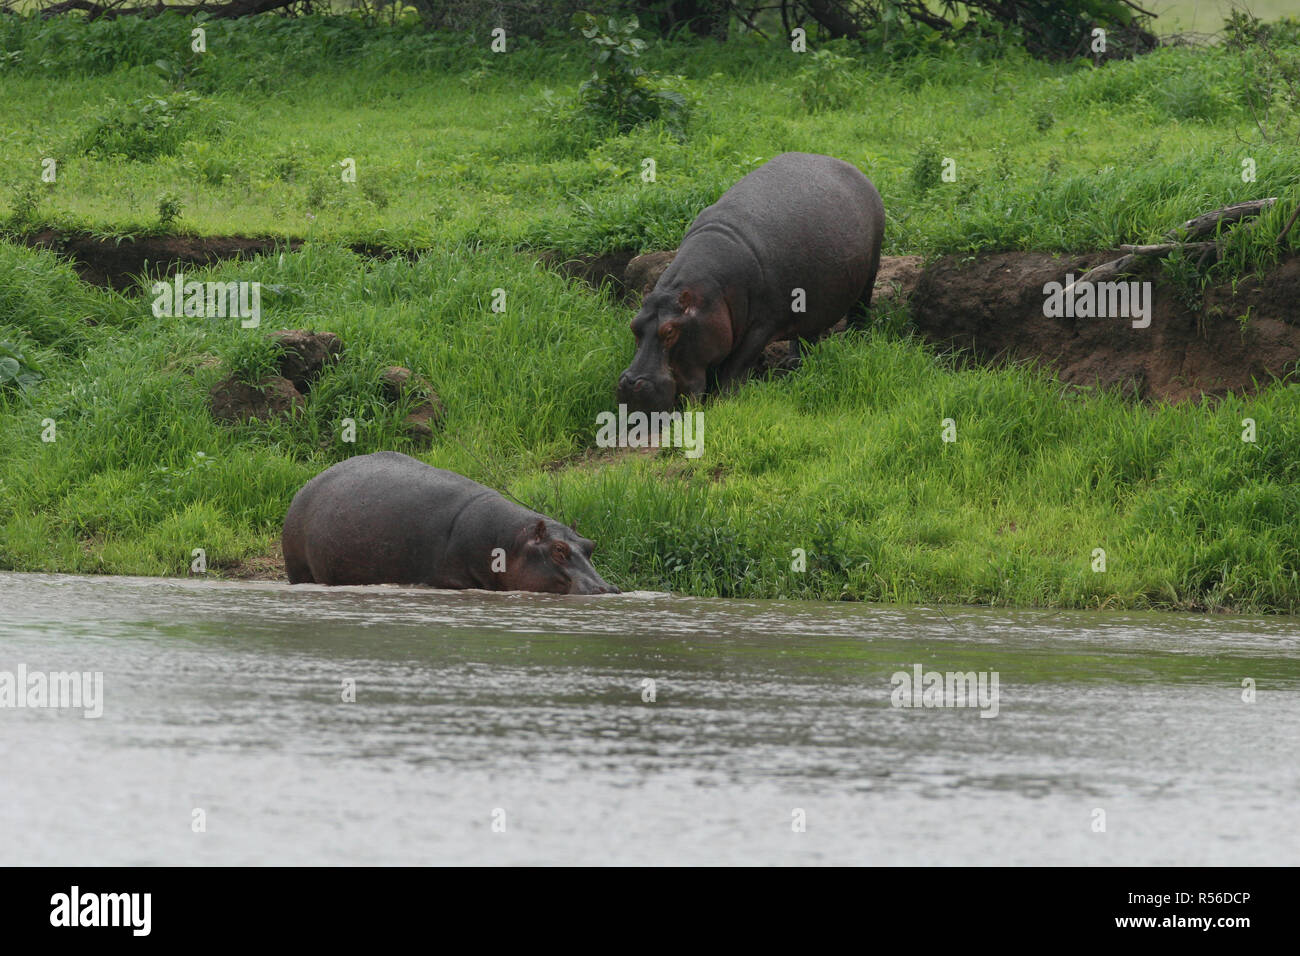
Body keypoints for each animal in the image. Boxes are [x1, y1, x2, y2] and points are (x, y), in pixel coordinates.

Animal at [282, 451, 618, 594]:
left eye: (590, 545)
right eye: (559, 549)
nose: (608, 589)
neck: (512, 542)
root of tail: (306, 486)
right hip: (298, 569)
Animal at [617, 151, 884, 412]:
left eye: (670, 331)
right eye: (633, 325)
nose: (630, 383)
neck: (708, 294)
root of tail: (853, 167)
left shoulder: (761, 326)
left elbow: (735, 366)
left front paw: (722, 402)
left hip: (868, 275)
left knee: (859, 310)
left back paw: (855, 342)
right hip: (813, 301)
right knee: (806, 336)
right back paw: (793, 366)